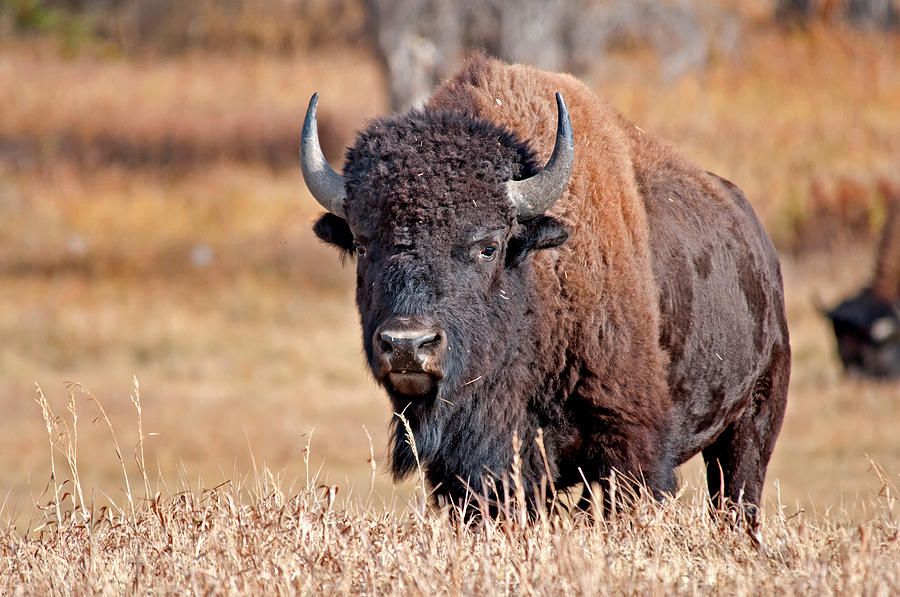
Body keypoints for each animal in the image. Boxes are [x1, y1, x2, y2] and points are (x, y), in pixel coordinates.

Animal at [300, 55, 790, 523]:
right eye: (362, 246)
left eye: (489, 246)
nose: (407, 345)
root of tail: (756, 239)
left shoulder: (631, 442)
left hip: (753, 420)